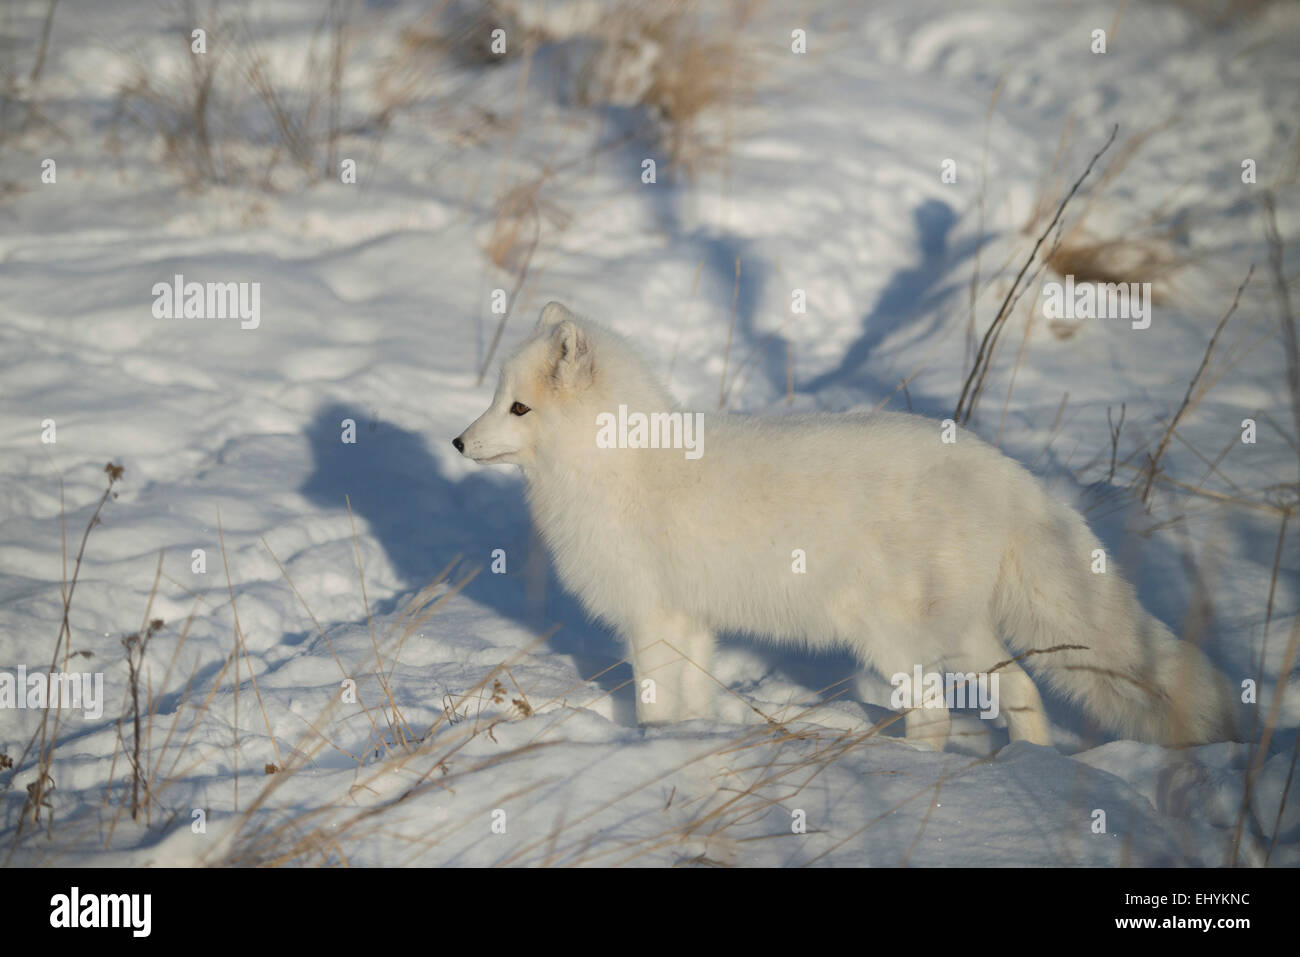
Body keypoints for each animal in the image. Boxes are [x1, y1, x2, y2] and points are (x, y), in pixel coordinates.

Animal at [453, 302, 1239, 749]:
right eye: (493, 398)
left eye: (519, 408)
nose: (458, 442)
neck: (622, 463)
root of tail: (1009, 475)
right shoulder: (691, 620)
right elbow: (690, 704)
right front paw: (691, 744)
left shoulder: (651, 616)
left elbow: (653, 705)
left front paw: (649, 750)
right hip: (963, 636)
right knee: (1023, 692)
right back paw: (1028, 770)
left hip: (889, 633)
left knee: (935, 716)